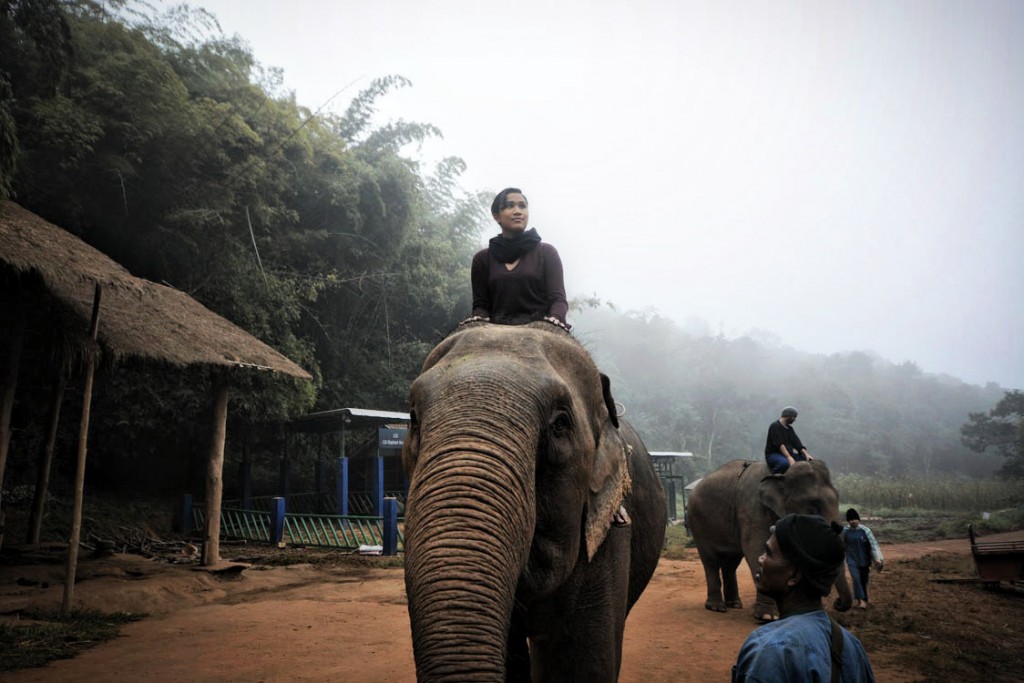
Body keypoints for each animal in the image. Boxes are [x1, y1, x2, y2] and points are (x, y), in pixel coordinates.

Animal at [686, 458, 853, 621]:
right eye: (814, 505)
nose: (837, 603)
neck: (782, 473)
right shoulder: (752, 508)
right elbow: (755, 548)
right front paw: (769, 616)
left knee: (731, 562)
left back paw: (734, 604)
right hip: (698, 522)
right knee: (710, 560)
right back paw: (716, 607)